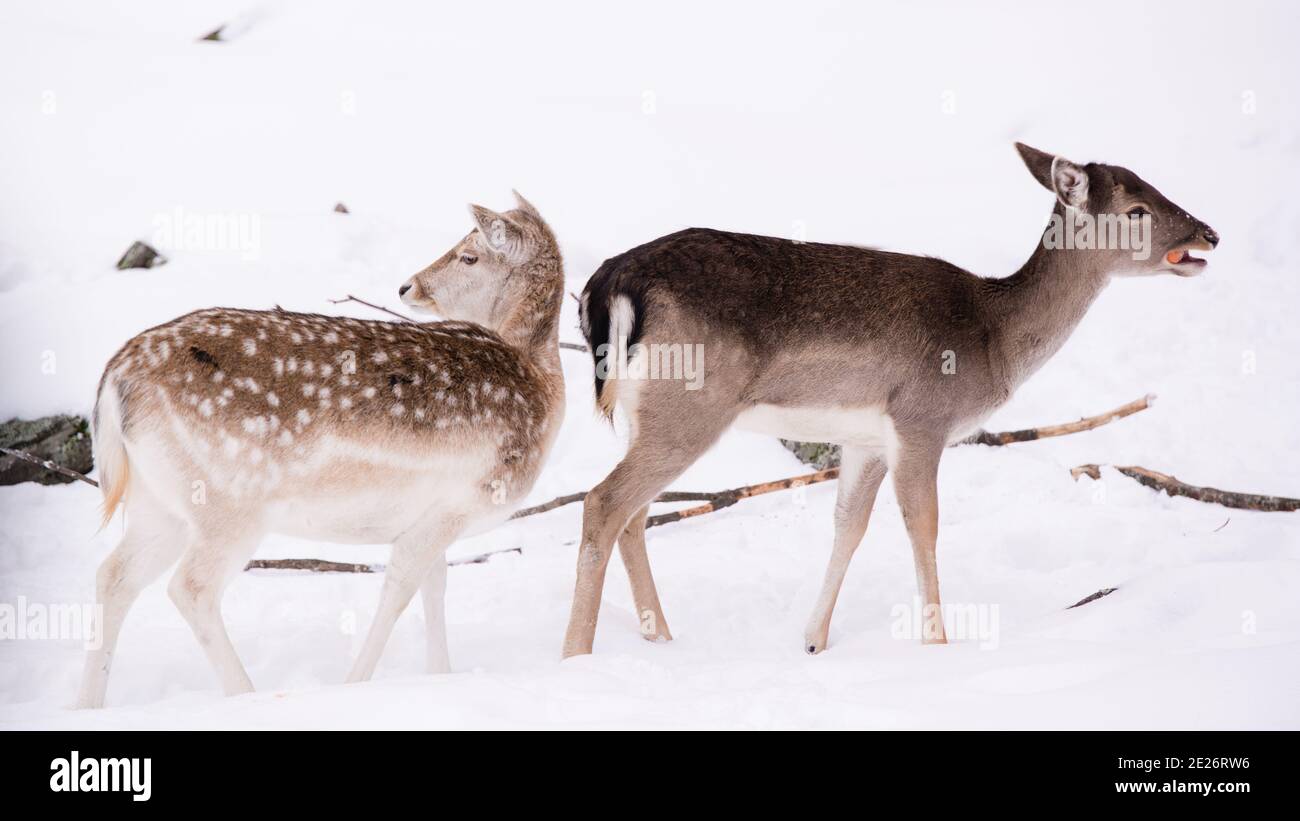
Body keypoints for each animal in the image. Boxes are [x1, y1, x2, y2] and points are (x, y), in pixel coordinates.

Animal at [76, 192, 565, 708]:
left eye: (469, 255)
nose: (407, 287)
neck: (543, 382)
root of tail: (116, 377)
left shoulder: (432, 514)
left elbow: (435, 586)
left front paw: (440, 675)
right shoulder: (458, 502)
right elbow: (400, 587)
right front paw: (354, 684)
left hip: (158, 500)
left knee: (113, 575)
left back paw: (85, 704)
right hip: (229, 501)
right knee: (191, 587)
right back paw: (248, 695)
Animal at [564, 143, 1218, 658]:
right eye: (1136, 210)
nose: (1209, 233)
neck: (992, 340)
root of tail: (608, 284)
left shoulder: (866, 438)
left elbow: (848, 526)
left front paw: (812, 641)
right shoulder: (921, 419)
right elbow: (923, 526)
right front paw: (938, 645)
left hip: (646, 413)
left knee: (634, 513)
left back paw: (661, 639)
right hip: (690, 406)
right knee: (604, 501)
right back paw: (577, 654)